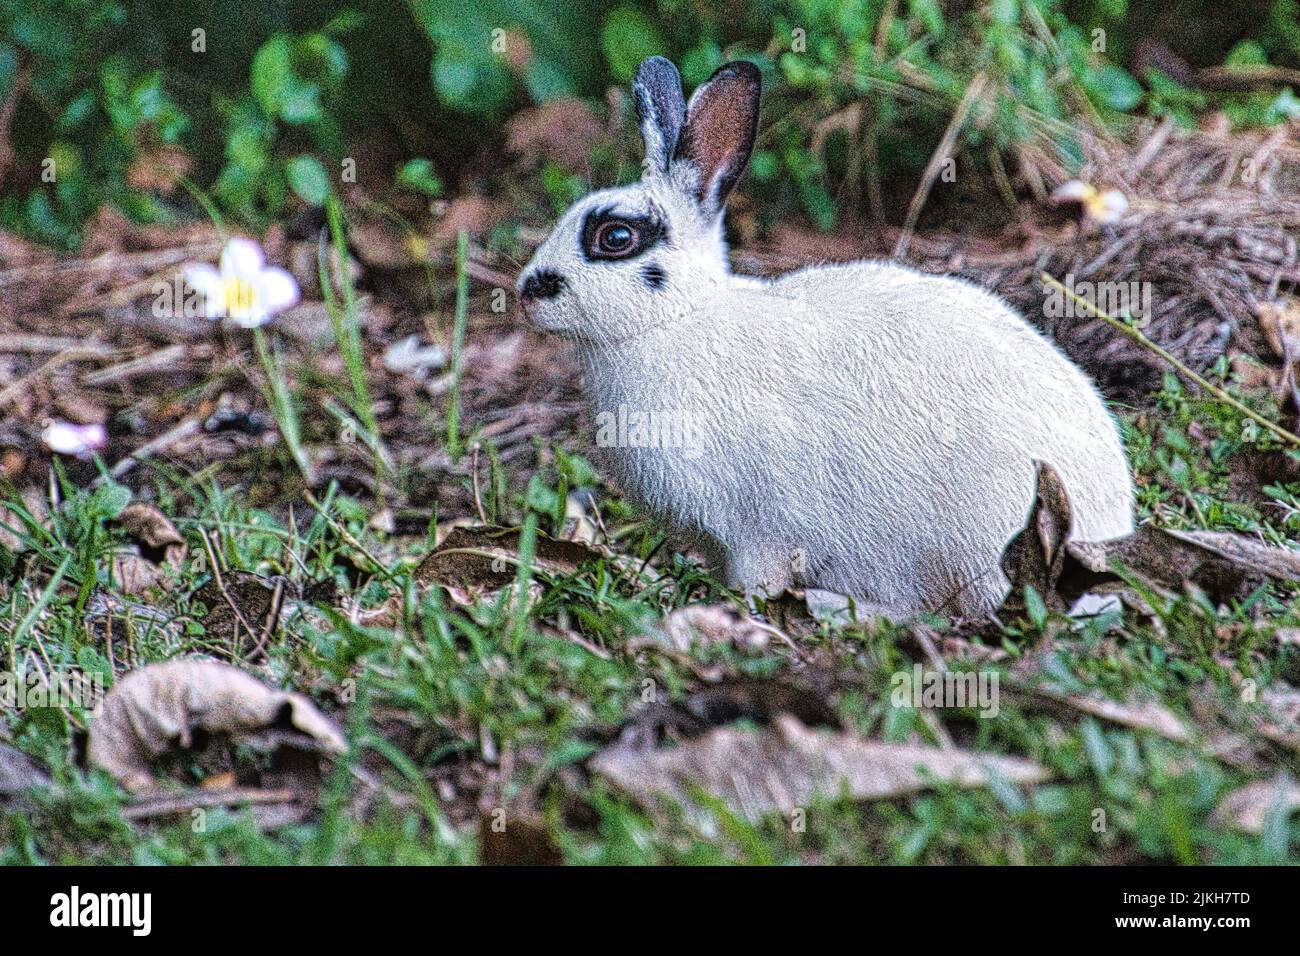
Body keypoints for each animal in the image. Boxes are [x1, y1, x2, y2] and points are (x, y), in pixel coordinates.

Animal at [517, 56, 1134, 619]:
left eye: (615, 237)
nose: (526, 292)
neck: (677, 319)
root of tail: (1110, 519)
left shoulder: (753, 533)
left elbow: (755, 578)